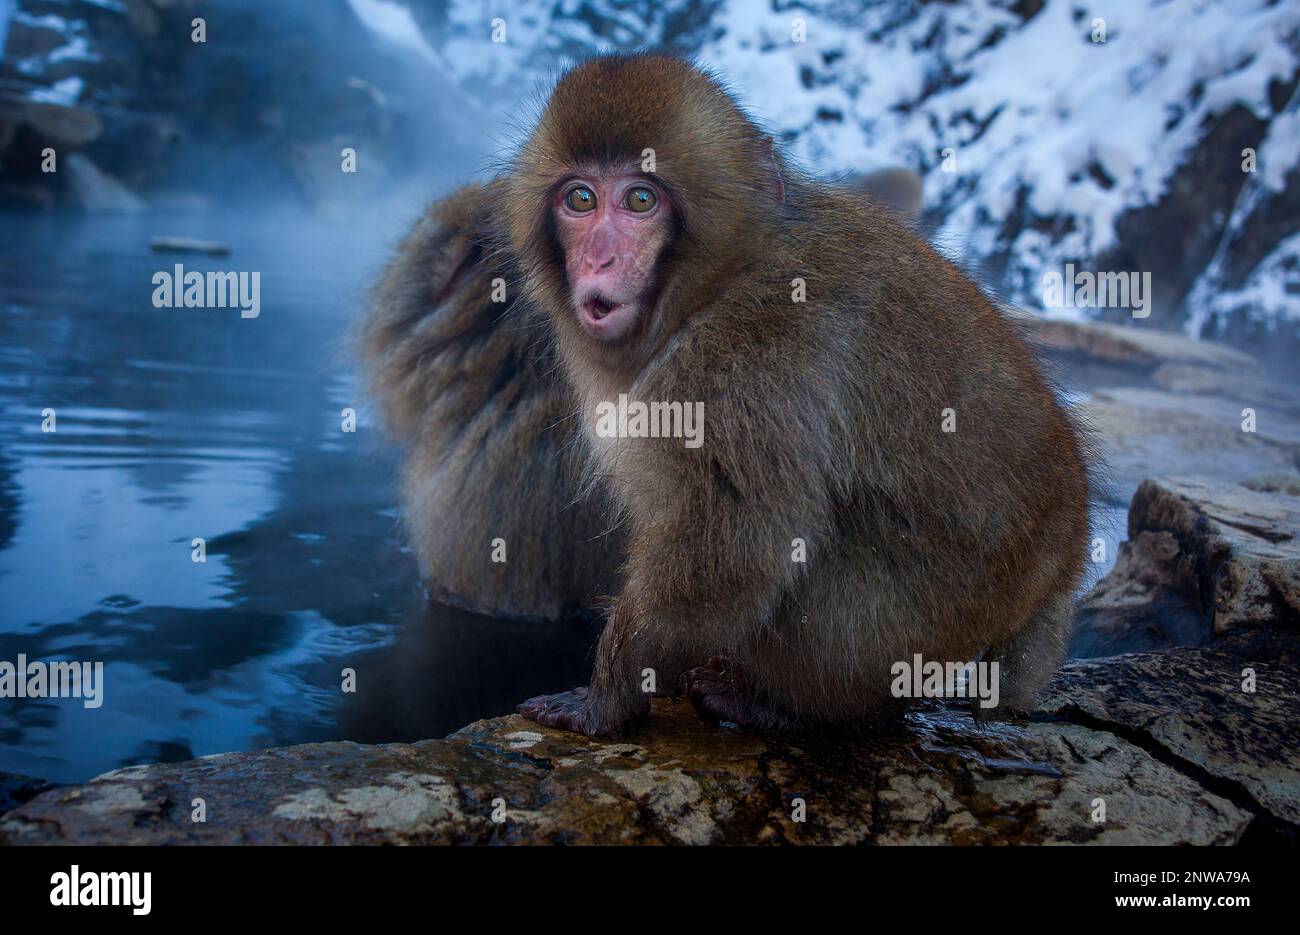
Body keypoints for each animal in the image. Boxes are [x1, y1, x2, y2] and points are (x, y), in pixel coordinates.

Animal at [490, 54, 1092, 737]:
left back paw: (791, 708)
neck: (716, 282)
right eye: (580, 199)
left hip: (922, 622)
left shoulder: (746, 362)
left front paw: (605, 699)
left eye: (640, 199)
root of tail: (1062, 567)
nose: (599, 259)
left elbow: (738, 546)